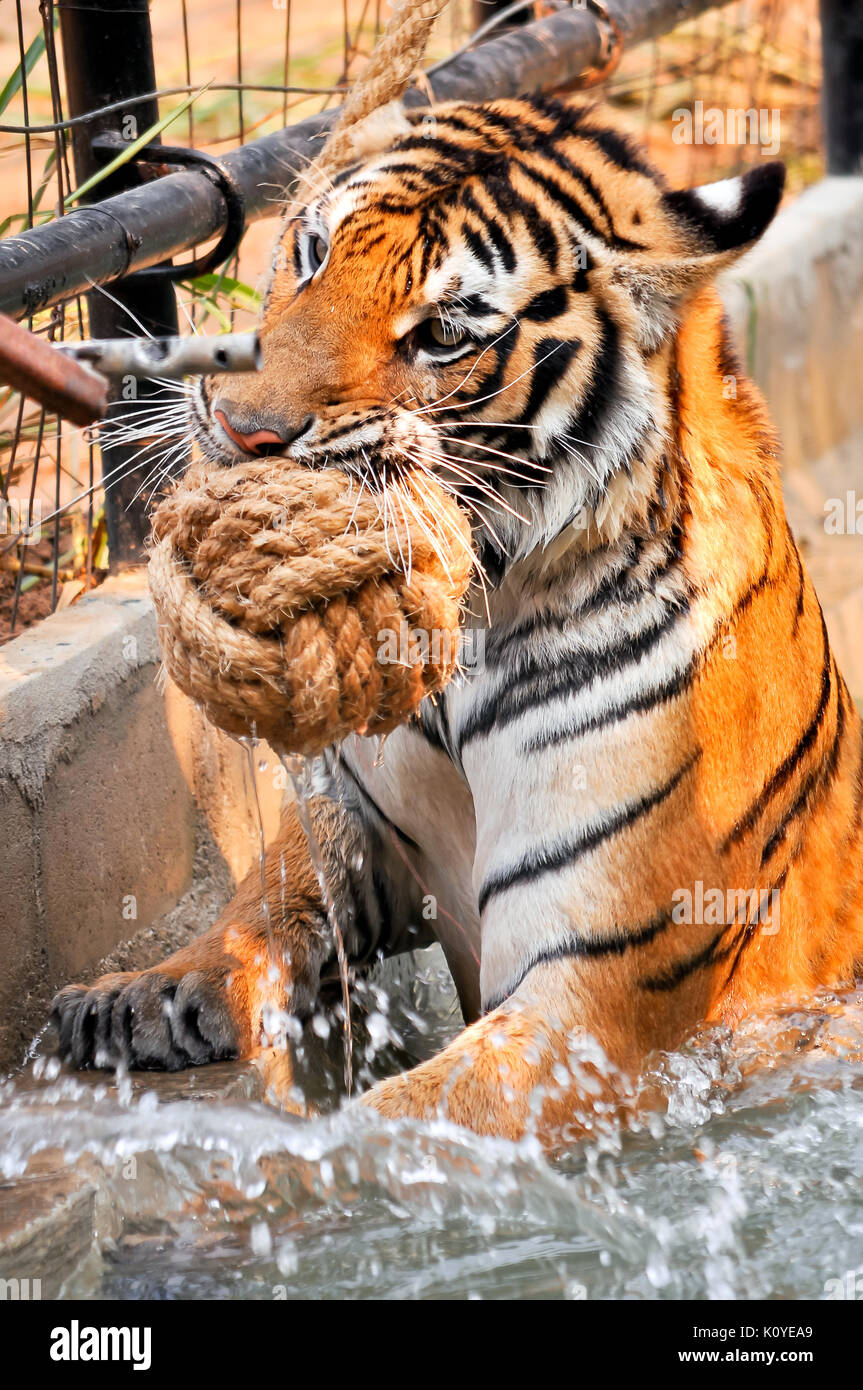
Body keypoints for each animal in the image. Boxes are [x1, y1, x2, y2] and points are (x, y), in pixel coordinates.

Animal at [50, 95, 863, 1145]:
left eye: (441, 333)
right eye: (309, 253)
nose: (238, 428)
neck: (476, 616)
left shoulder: (592, 1004)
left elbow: (401, 1122)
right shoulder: (358, 815)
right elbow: (268, 893)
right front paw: (146, 993)